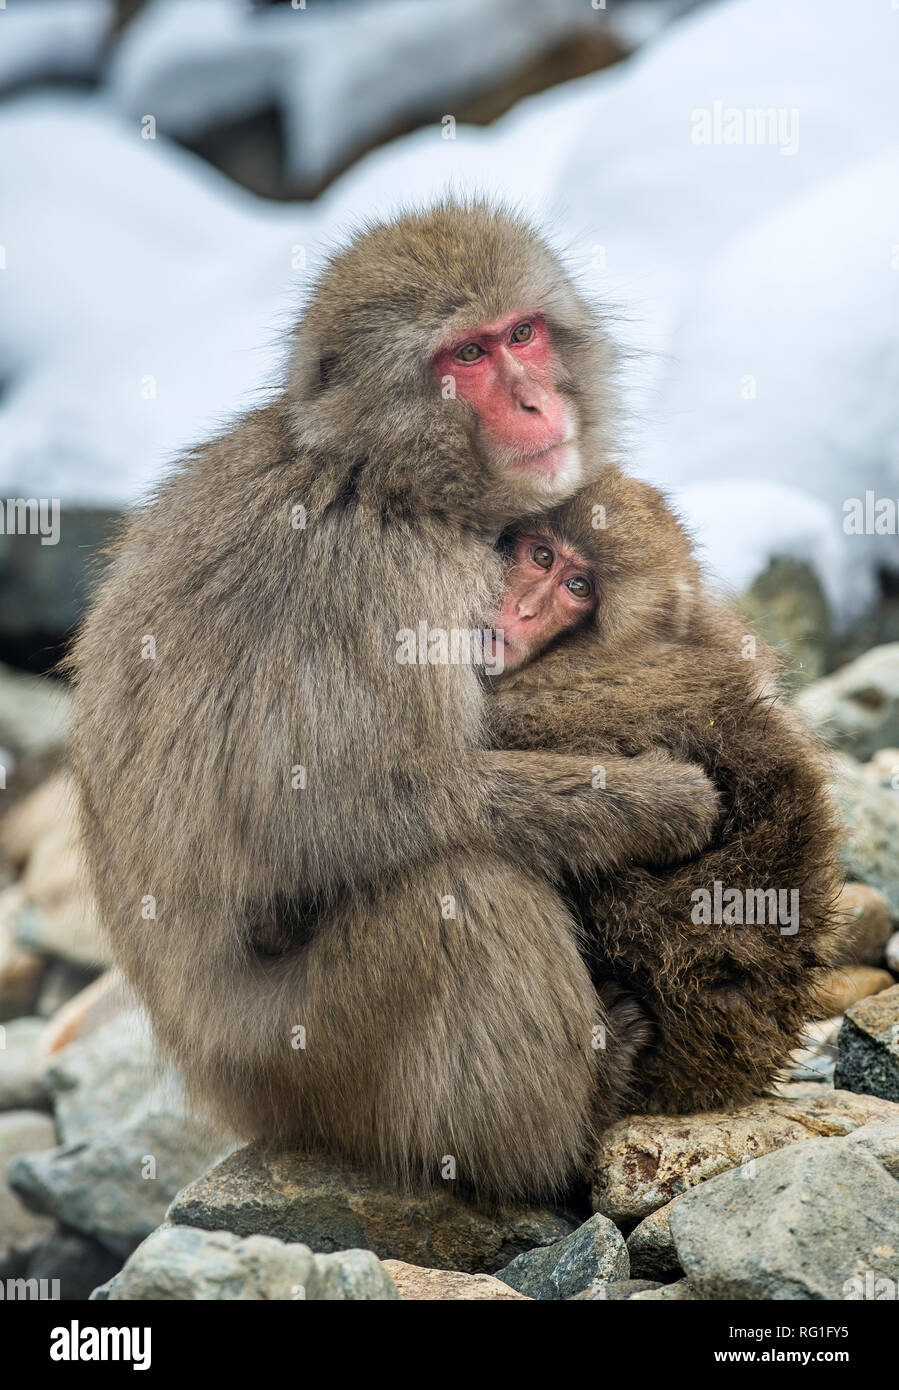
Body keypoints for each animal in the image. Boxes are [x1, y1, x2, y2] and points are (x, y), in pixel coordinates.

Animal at [67, 201, 723, 1200]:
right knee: (459, 891)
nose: (536, 402)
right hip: (303, 1061)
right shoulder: (370, 579)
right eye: (467, 356)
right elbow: (322, 811)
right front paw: (656, 800)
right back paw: (570, 1120)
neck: (390, 478)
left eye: (522, 334)